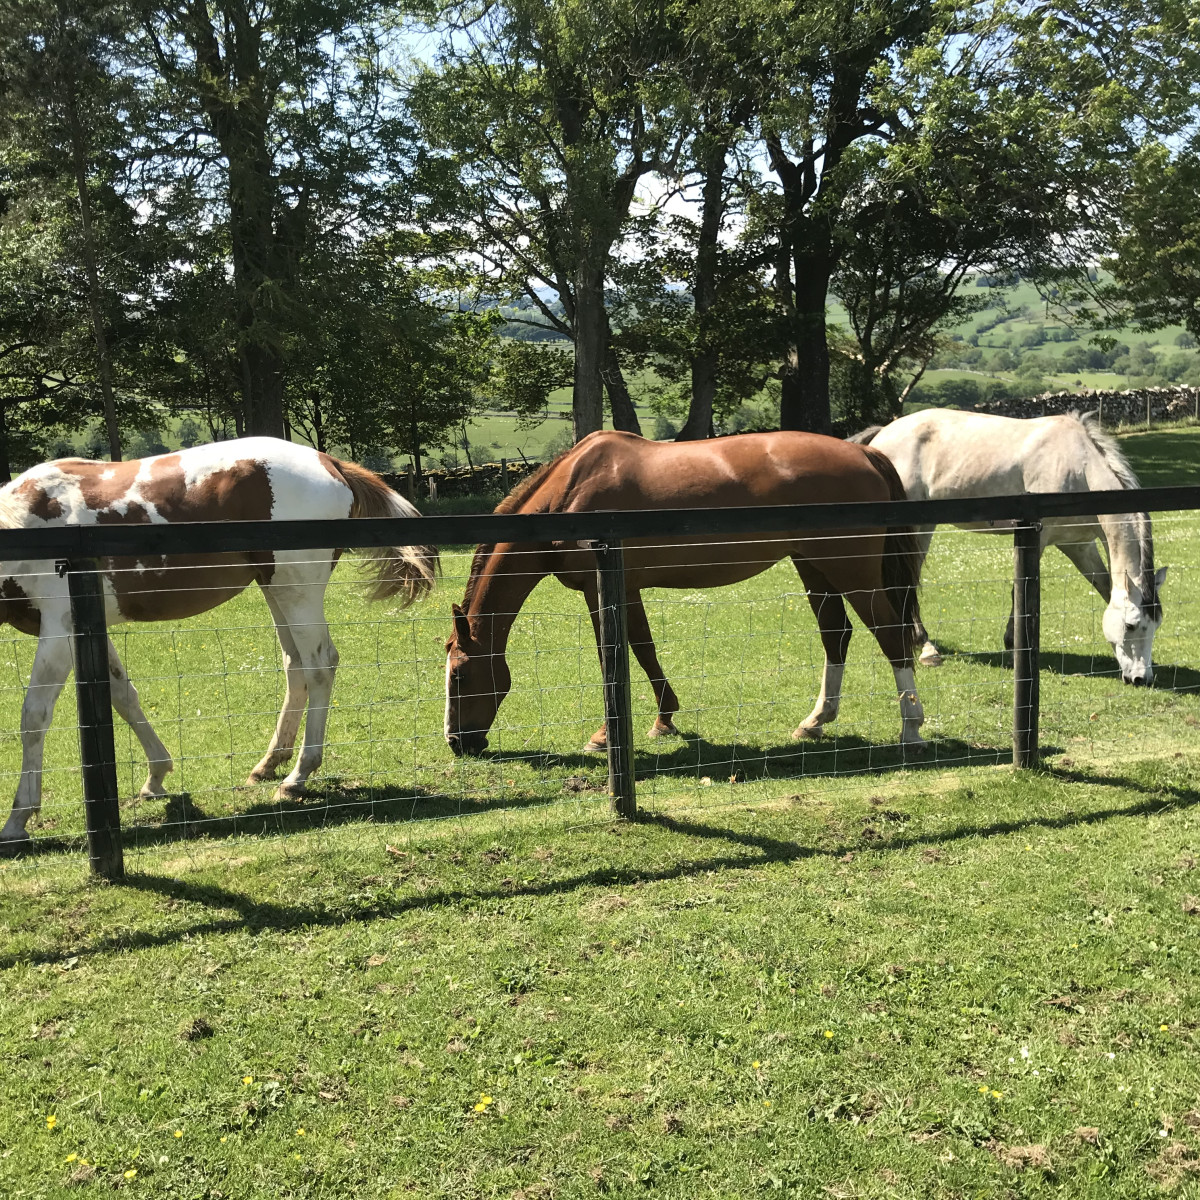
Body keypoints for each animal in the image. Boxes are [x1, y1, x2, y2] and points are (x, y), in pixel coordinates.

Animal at [0, 437, 437, 847]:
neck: (25, 526)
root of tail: (327, 461)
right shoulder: (89, 630)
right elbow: (124, 697)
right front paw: (156, 776)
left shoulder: (59, 629)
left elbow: (33, 718)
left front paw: (17, 820)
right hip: (274, 589)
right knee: (295, 664)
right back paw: (269, 763)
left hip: (296, 592)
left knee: (319, 665)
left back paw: (297, 776)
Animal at [444, 429, 927, 759]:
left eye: (459, 677)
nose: (455, 741)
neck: (569, 492)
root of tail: (864, 452)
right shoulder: (625, 588)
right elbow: (642, 649)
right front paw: (664, 719)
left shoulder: (602, 591)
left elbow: (612, 658)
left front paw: (607, 734)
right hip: (813, 565)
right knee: (836, 635)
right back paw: (815, 722)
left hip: (850, 569)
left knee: (891, 635)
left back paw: (911, 729)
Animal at [848, 409, 1166, 683]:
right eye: (1130, 625)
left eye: (1155, 626)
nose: (1141, 678)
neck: (1079, 467)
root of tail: (881, 437)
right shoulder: (1035, 537)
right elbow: (1020, 590)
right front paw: (1014, 645)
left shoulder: (1079, 546)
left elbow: (1103, 586)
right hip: (916, 529)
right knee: (907, 580)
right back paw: (925, 646)